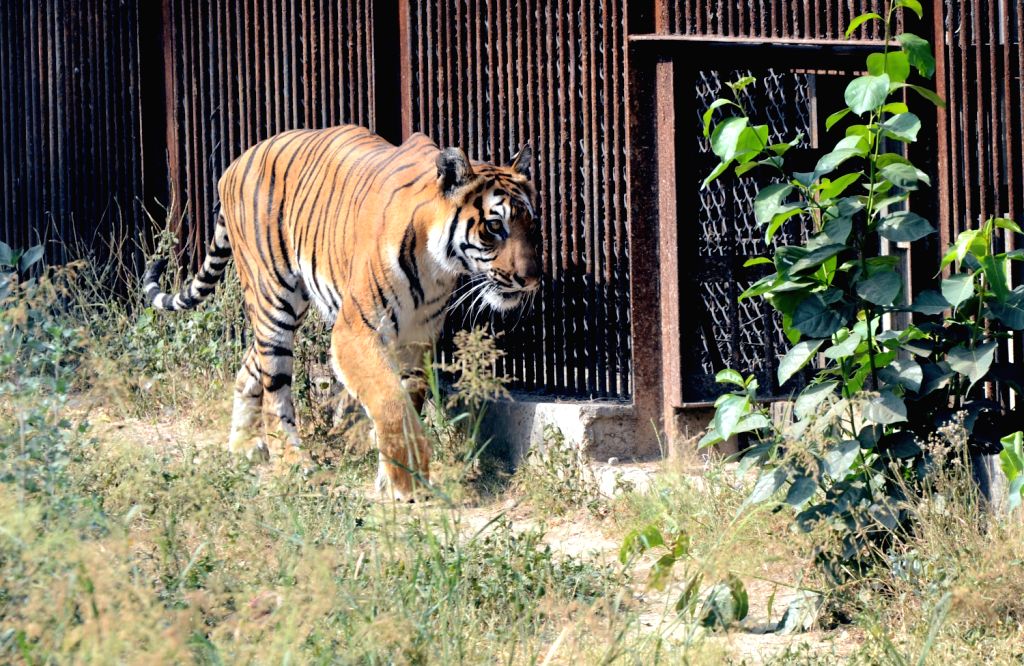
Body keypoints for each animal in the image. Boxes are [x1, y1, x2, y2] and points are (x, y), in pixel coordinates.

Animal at [143, 125, 540, 501]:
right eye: (494, 226)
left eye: (531, 224)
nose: (532, 279)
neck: (437, 268)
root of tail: (237, 161)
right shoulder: (355, 332)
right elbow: (390, 401)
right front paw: (405, 482)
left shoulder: (416, 339)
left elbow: (408, 400)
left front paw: (398, 474)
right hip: (274, 301)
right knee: (275, 391)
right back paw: (294, 462)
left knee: (249, 367)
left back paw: (244, 446)